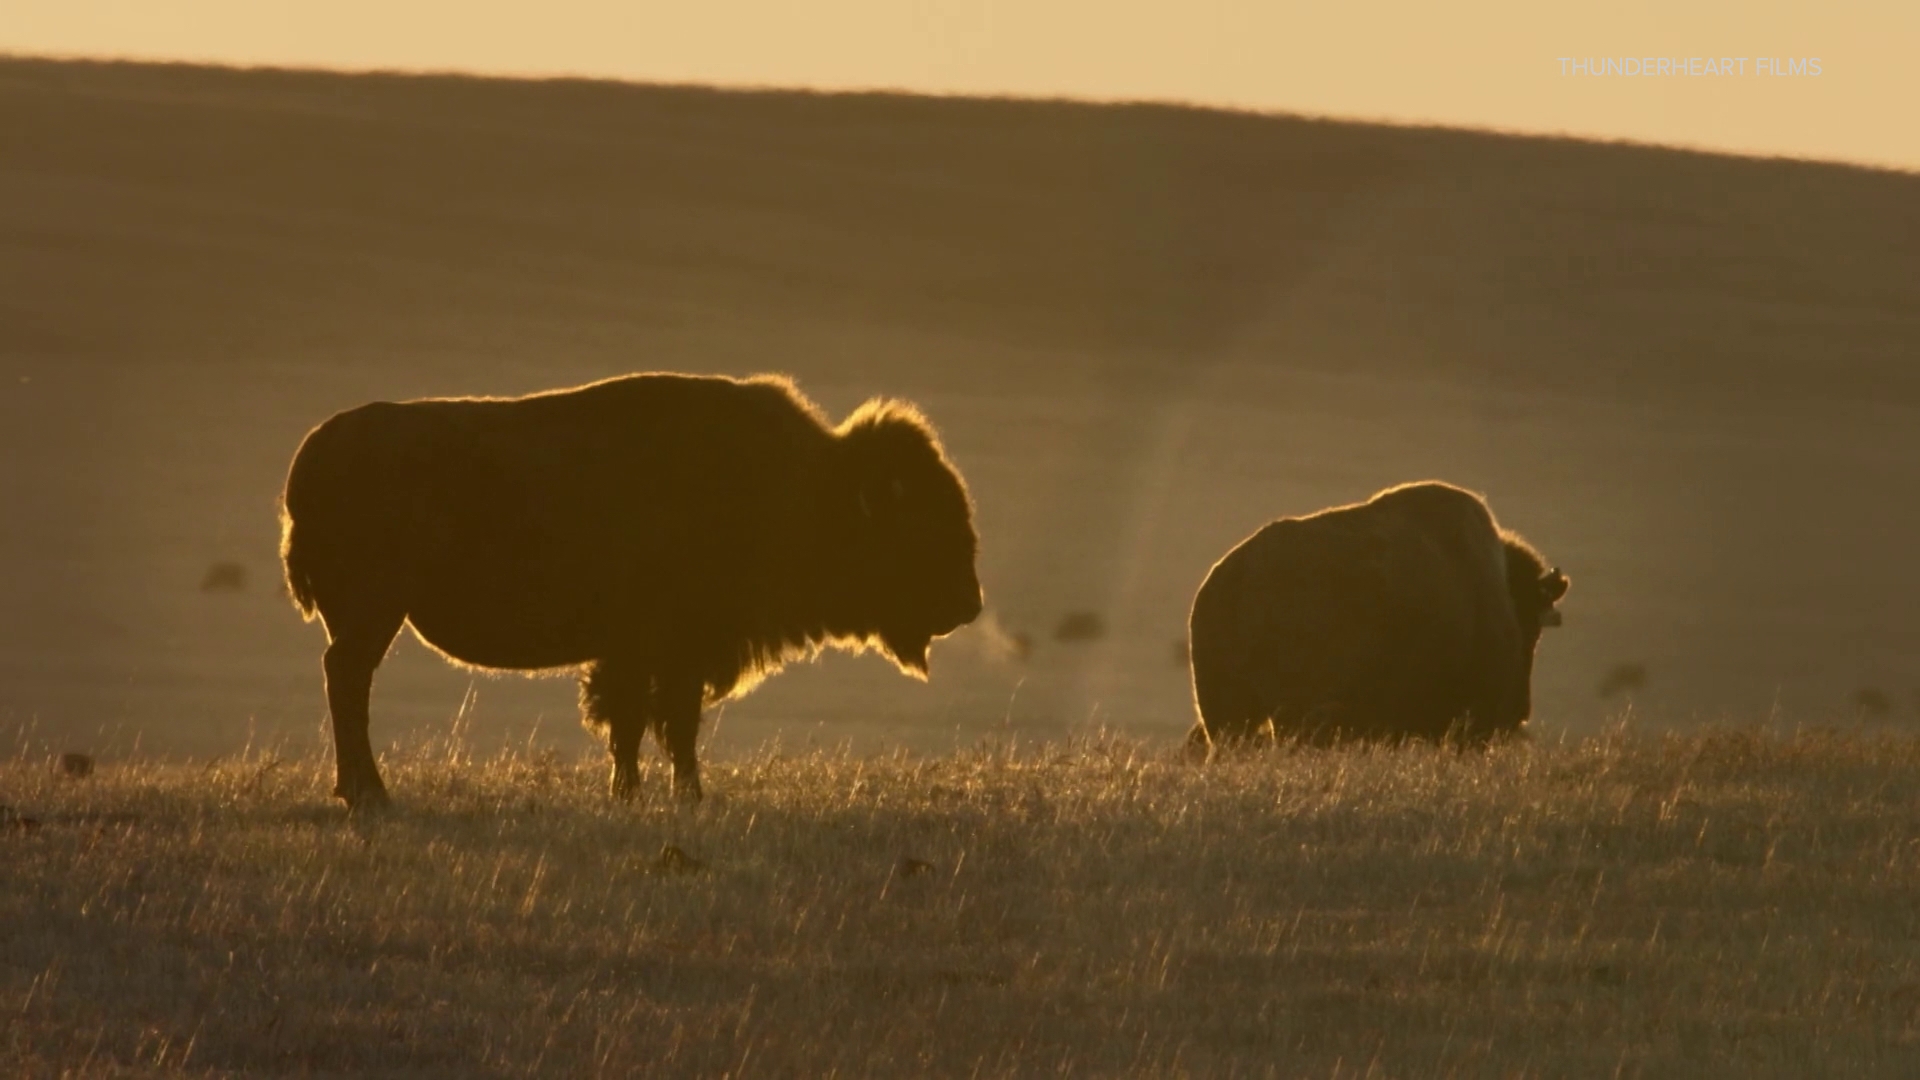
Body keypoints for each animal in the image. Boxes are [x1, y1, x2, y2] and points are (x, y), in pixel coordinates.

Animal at [280, 373, 983, 808]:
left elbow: (635, 725)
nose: (968, 602)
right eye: (920, 525)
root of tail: (313, 453)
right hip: (373, 614)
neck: (806, 486)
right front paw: (685, 796)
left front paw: (634, 794)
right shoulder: (672, 652)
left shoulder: (637, 654)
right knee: (348, 680)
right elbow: (669, 723)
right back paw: (370, 795)